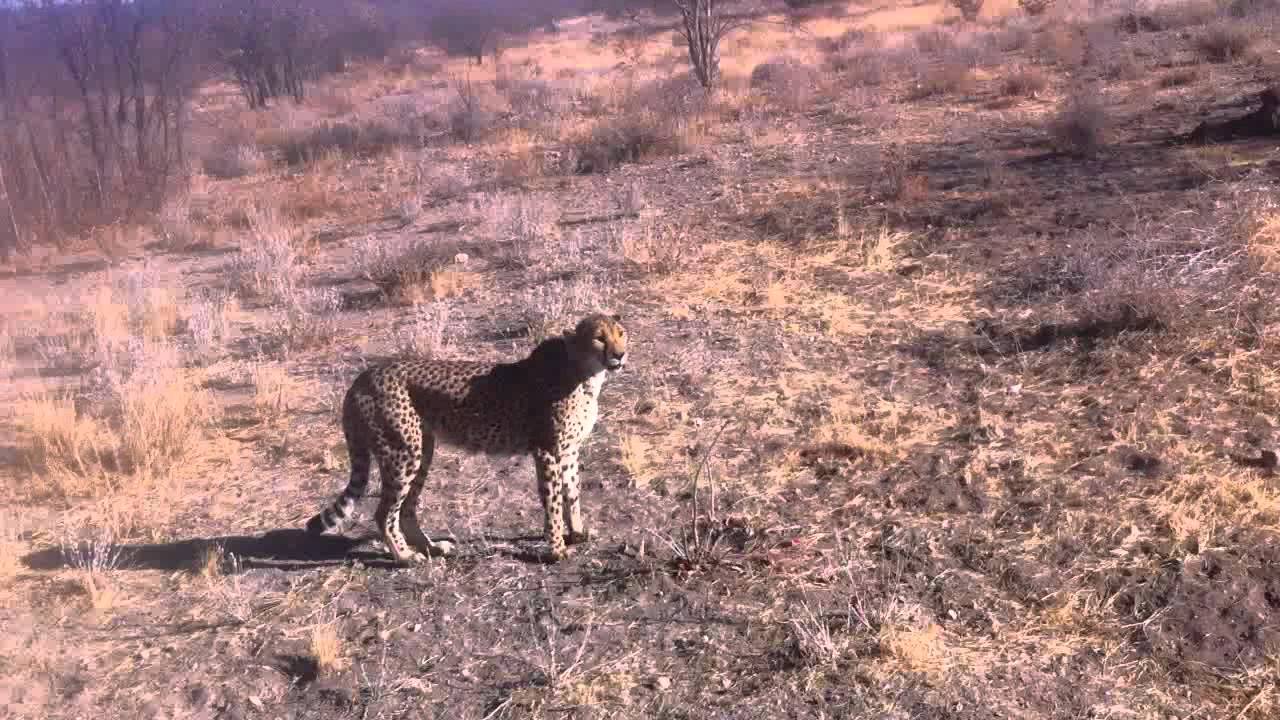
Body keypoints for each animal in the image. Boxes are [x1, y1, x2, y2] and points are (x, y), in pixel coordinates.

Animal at [306, 313, 628, 565]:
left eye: (621, 333)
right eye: (599, 338)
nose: (620, 354)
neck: (583, 375)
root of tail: (365, 375)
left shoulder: (569, 450)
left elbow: (572, 492)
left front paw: (578, 532)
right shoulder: (546, 450)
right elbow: (552, 500)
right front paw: (557, 548)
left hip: (422, 451)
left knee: (406, 508)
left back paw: (431, 547)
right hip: (402, 453)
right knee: (384, 513)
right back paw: (405, 557)